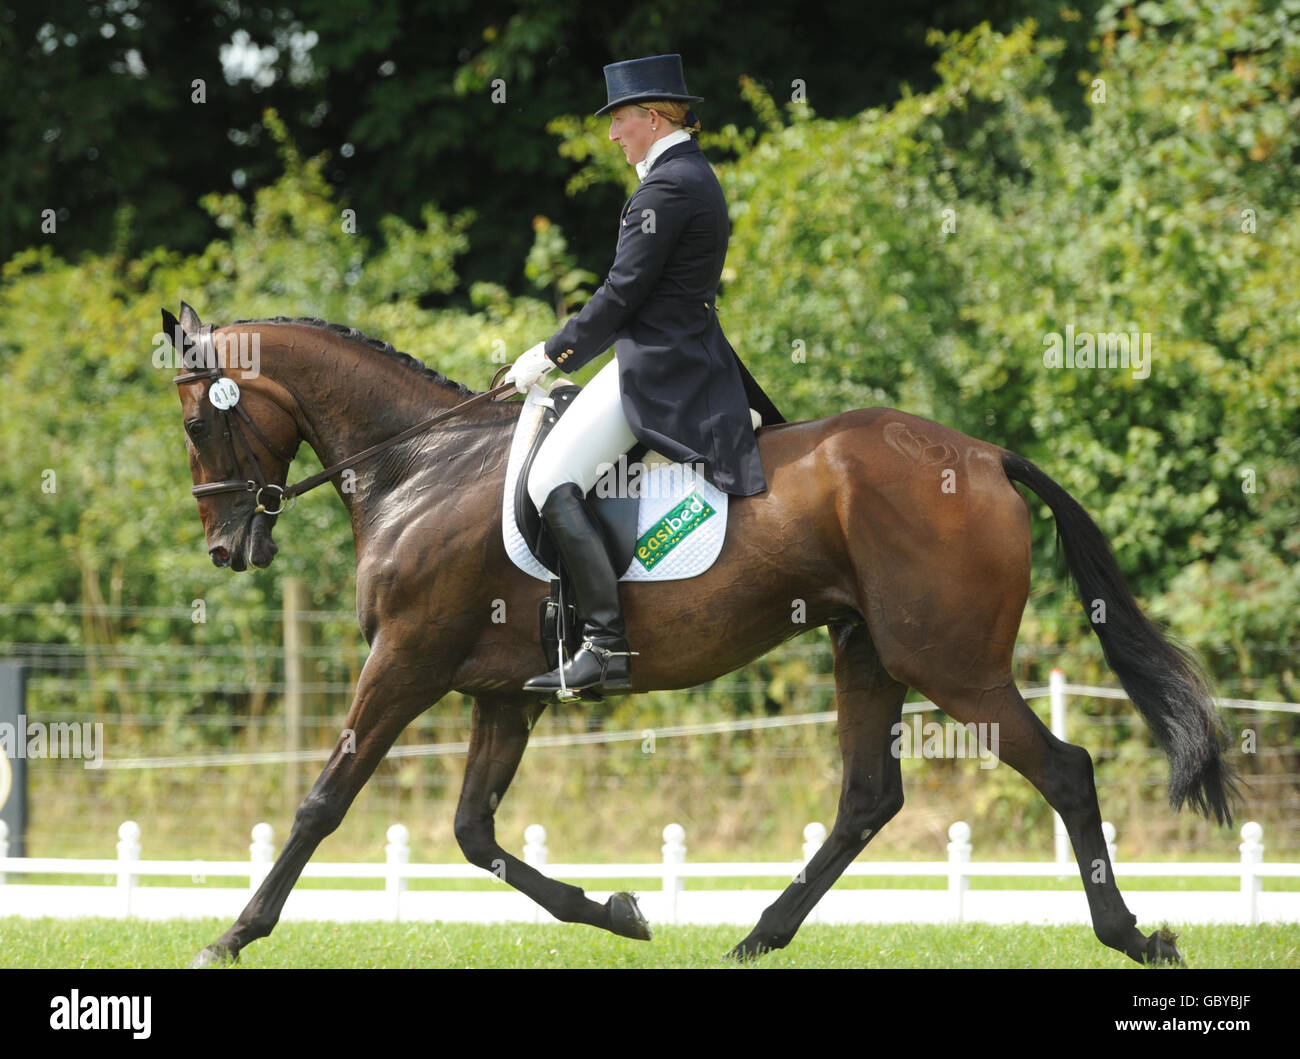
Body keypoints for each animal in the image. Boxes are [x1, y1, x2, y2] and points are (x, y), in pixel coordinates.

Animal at [161, 302, 1238, 968]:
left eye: (196, 426)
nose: (223, 548)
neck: (417, 466)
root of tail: (980, 457)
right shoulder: (501, 694)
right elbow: (474, 834)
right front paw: (619, 911)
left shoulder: (406, 663)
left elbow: (323, 802)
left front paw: (233, 933)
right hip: (867, 650)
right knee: (866, 800)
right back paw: (756, 936)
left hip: (950, 661)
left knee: (1064, 769)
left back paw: (1132, 935)